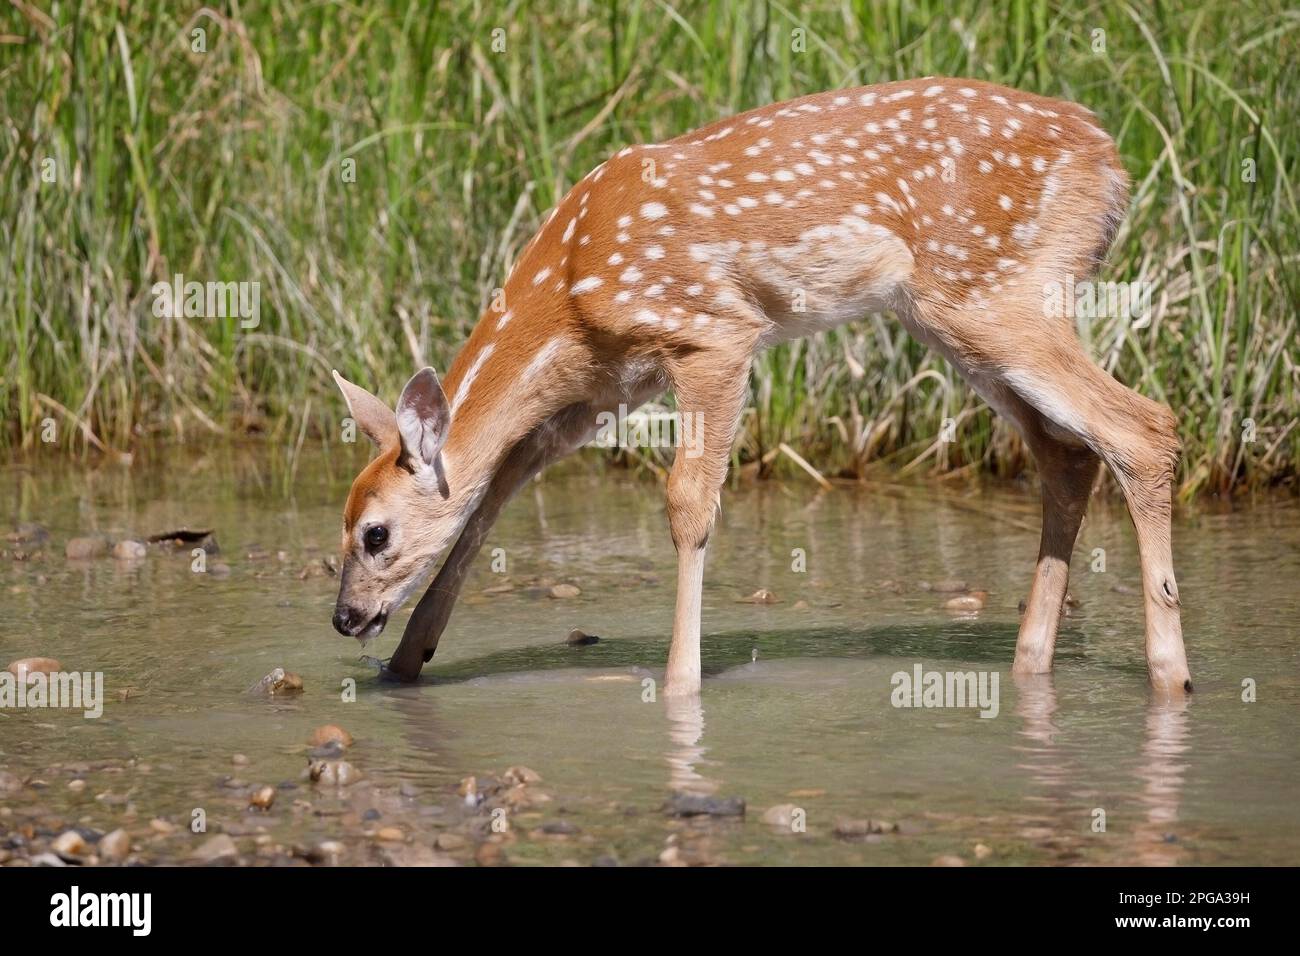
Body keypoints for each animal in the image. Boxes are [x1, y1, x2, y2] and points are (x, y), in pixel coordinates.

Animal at [329, 77, 1192, 700]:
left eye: (374, 533)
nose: (343, 617)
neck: (569, 293)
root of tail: (1110, 159)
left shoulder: (711, 332)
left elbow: (687, 502)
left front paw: (680, 683)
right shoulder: (602, 389)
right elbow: (492, 494)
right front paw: (407, 662)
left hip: (994, 294)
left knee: (1144, 427)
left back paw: (1171, 675)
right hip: (958, 317)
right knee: (1066, 456)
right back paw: (1031, 663)